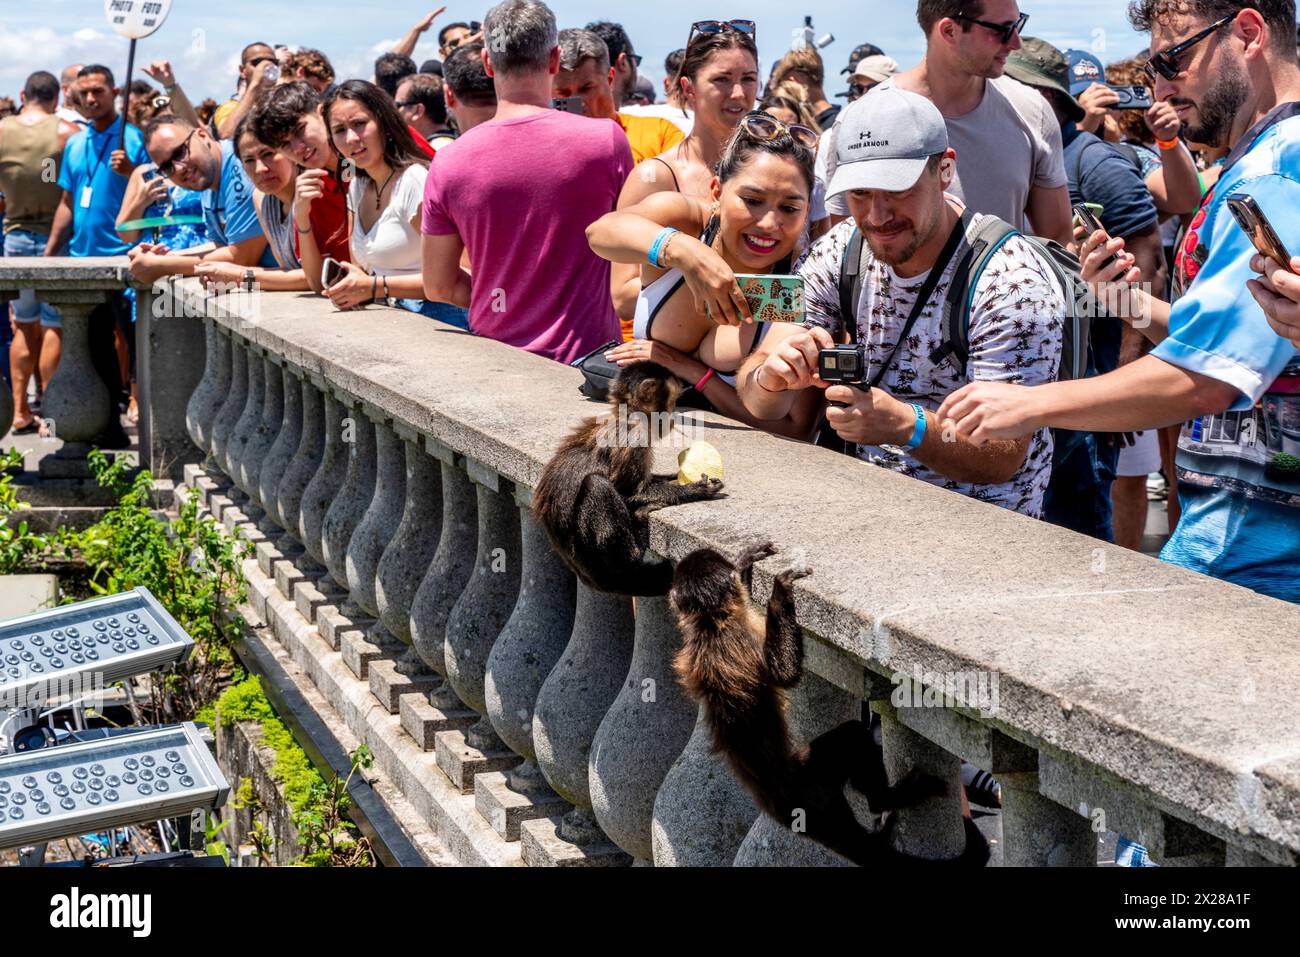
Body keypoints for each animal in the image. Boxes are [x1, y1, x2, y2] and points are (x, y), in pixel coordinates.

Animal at [533, 361, 726, 597]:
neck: (628, 416)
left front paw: (669, 477)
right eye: (672, 403)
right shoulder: (635, 437)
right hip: (591, 557)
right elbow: (629, 491)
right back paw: (636, 547)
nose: (671, 420)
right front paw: (694, 490)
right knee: (597, 485)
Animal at [671, 543, 990, 867]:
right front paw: (780, 592)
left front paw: (744, 563)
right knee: (852, 736)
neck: (710, 625)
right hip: (812, 782)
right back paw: (884, 799)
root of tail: (778, 800)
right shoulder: (740, 638)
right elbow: (784, 673)